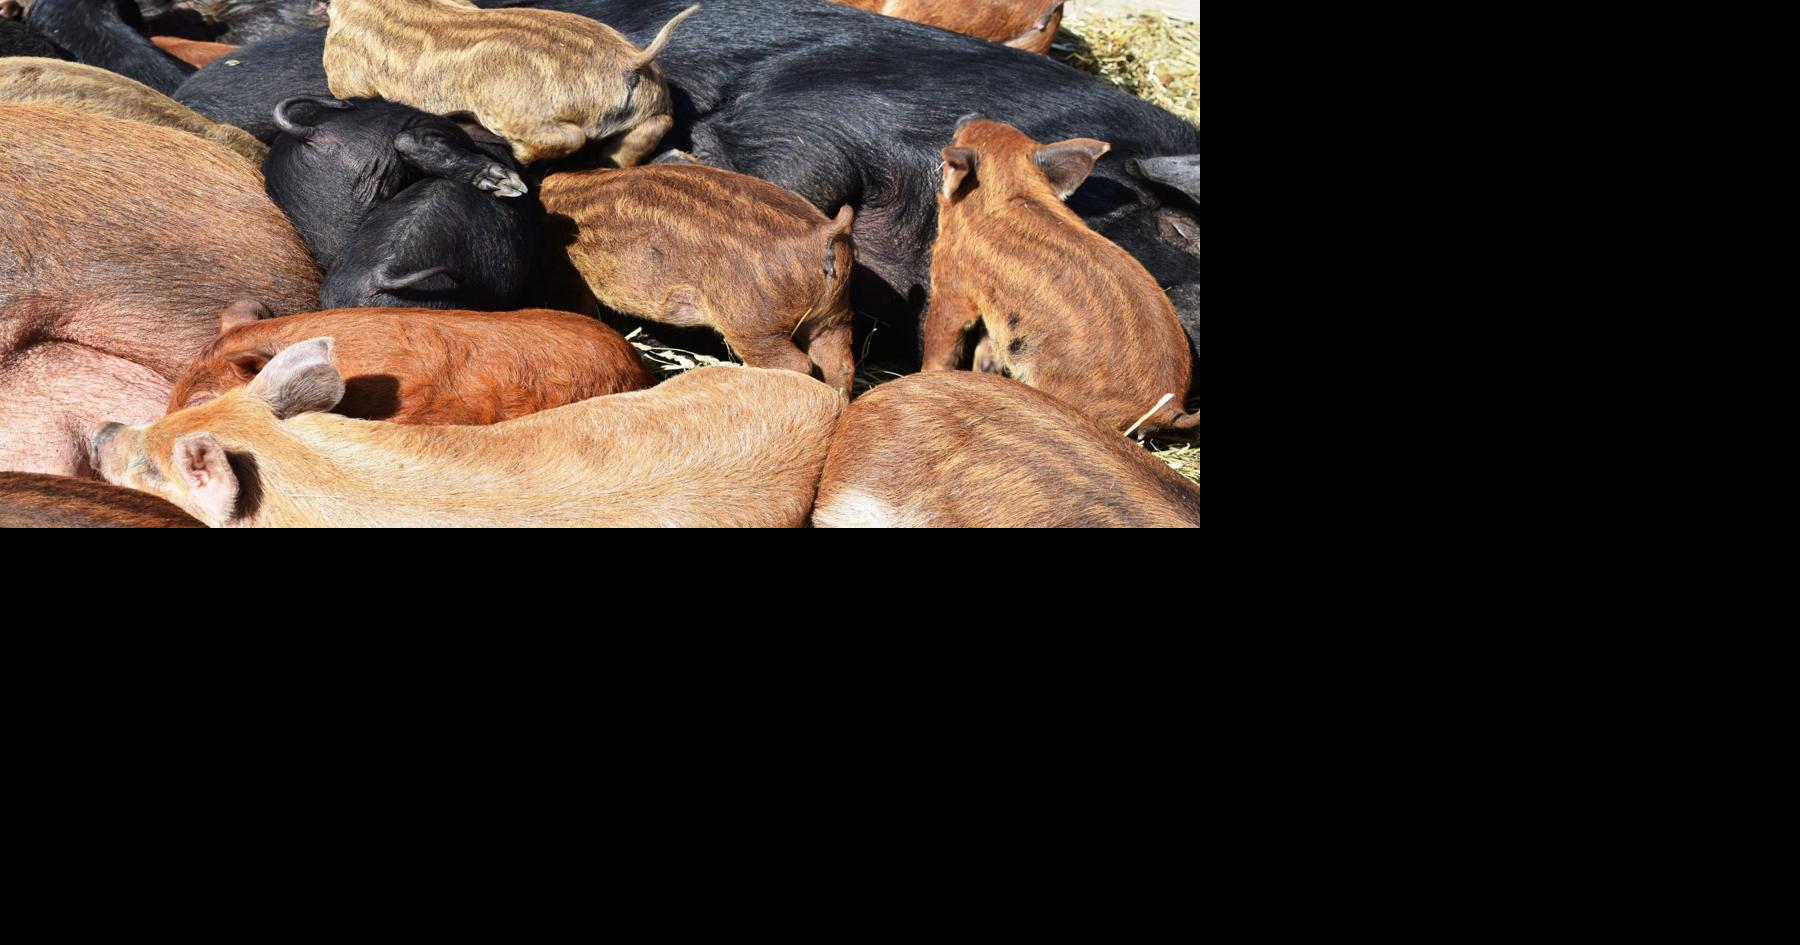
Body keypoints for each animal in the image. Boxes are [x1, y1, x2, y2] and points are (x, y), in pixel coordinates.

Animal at [323, 0, 699, 165]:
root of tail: (630, 62)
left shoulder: (345, 77)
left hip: (512, 111)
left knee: (566, 139)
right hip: (652, 108)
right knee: (645, 135)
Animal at [543, 164, 857, 395]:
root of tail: (823, 232)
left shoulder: (571, 279)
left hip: (752, 323)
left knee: (797, 363)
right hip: (833, 315)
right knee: (839, 364)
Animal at [923, 117, 1197, 437]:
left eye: (960, 137)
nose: (968, 116)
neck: (1011, 186)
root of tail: (1171, 409)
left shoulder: (952, 282)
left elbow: (942, 337)